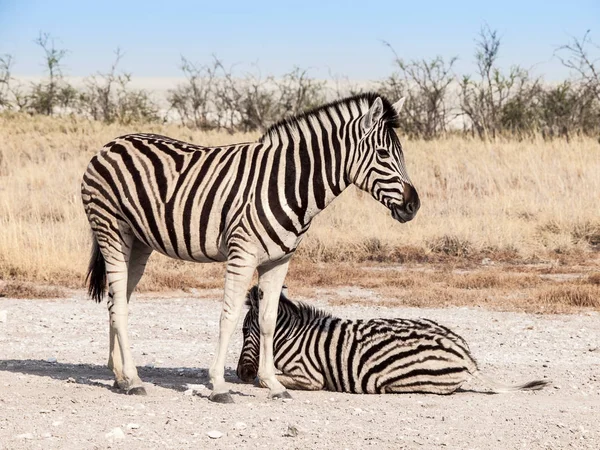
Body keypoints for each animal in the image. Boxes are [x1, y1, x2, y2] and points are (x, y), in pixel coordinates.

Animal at [79, 93, 420, 402]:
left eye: (401, 154)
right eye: (383, 154)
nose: (413, 206)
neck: (289, 184)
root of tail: (110, 144)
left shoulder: (279, 260)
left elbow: (269, 320)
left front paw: (273, 384)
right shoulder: (241, 254)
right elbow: (228, 316)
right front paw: (218, 386)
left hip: (138, 244)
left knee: (116, 301)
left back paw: (119, 376)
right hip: (111, 230)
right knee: (119, 306)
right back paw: (134, 379)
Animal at [237, 288, 552, 394]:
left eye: (244, 331)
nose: (241, 373)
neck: (293, 338)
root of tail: (465, 354)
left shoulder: (310, 376)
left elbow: (273, 379)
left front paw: (261, 381)